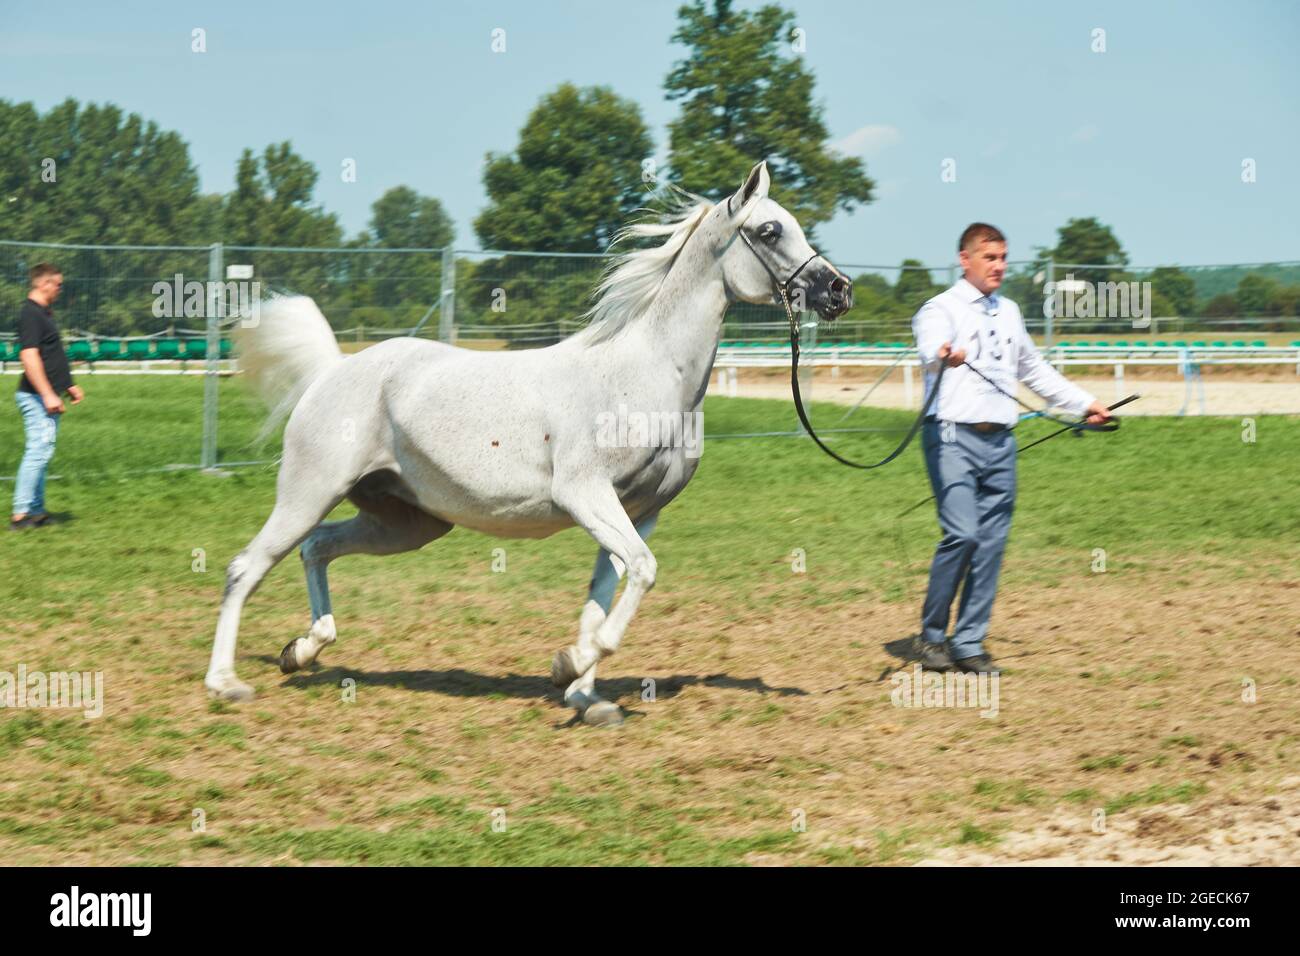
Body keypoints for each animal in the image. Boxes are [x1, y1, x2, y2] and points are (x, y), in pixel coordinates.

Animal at [204, 160, 854, 725]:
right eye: (768, 230)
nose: (839, 291)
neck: (642, 375)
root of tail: (331, 371)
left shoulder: (639, 511)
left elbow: (603, 595)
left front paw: (588, 700)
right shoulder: (587, 495)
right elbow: (640, 575)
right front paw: (568, 667)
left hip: (406, 521)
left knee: (317, 549)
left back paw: (302, 650)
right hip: (311, 491)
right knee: (245, 567)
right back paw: (226, 684)